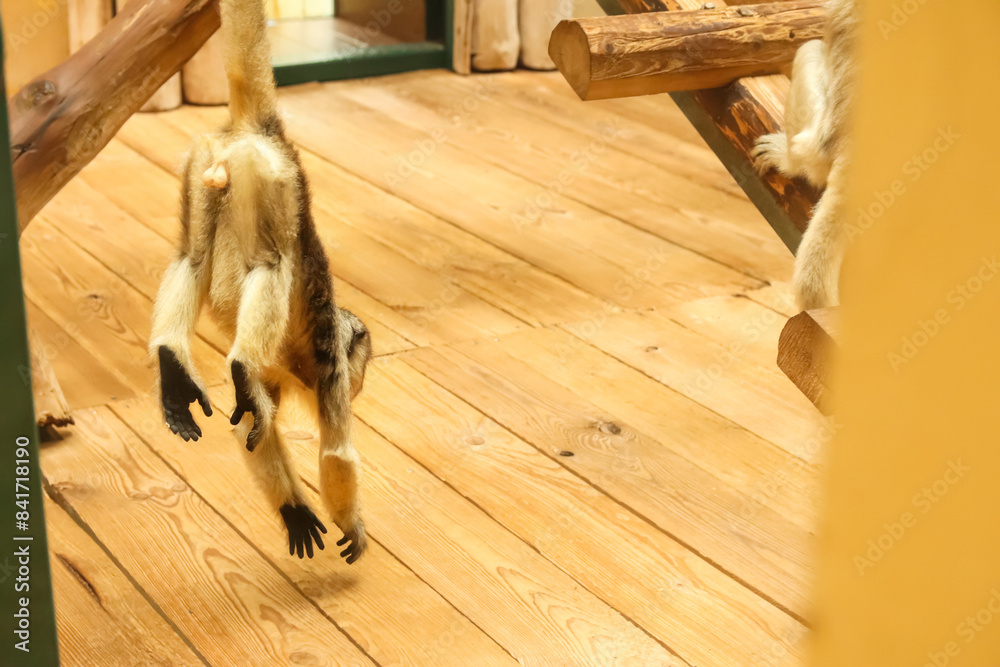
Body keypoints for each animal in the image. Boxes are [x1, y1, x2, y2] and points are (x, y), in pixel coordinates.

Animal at [148, 0, 372, 563]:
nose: (363, 385)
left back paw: (171, 360)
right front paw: (352, 523)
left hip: (203, 163)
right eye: (362, 364)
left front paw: (292, 509)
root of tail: (268, 135)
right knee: (271, 261)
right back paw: (237, 362)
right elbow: (336, 453)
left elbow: (253, 425)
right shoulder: (330, 371)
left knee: (189, 256)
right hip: (268, 178)